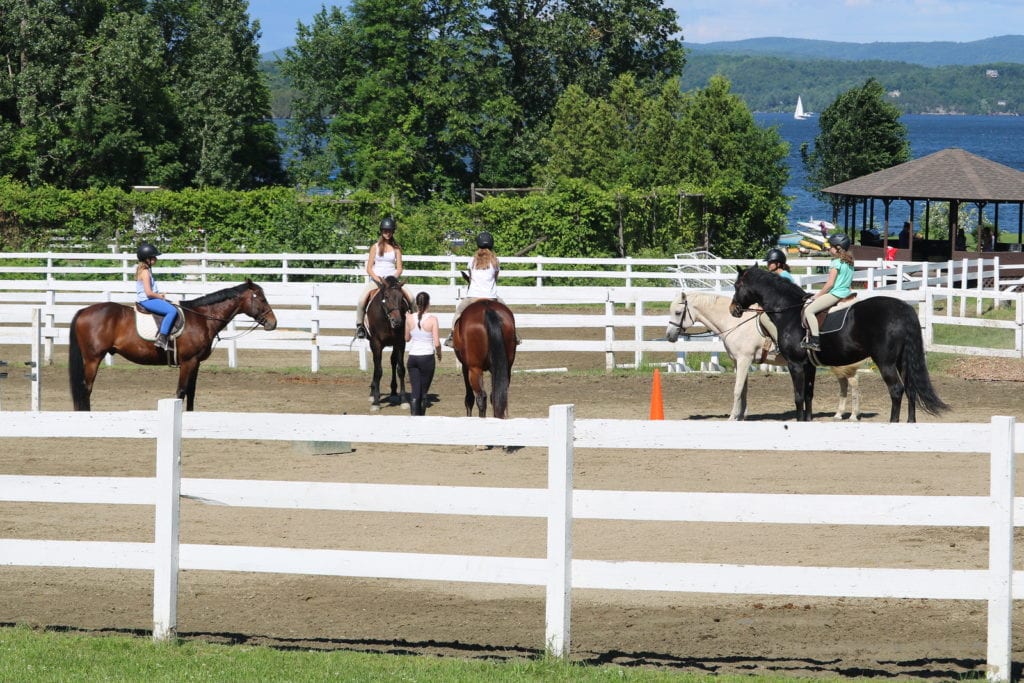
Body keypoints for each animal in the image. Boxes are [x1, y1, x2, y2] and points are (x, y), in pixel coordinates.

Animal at [68, 279, 277, 411]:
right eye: (261, 298)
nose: (273, 323)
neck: (202, 318)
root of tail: (83, 311)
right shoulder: (187, 362)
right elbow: (181, 391)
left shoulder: (196, 362)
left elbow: (191, 392)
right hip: (93, 359)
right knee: (86, 389)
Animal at [365, 275, 410, 411]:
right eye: (386, 296)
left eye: (401, 298)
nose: (397, 321)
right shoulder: (376, 343)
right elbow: (378, 371)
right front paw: (376, 402)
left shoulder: (400, 343)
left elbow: (401, 370)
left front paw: (404, 400)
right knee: (376, 365)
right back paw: (373, 393)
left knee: (393, 361)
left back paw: (394, 393)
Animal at [665, 290, 865, 421]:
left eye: (677, 312)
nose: (669, 336)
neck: (733, 322)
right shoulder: (738, 361)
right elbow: (744, 389)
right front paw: (742, 415)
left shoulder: (744, 360)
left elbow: (737, 388)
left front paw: (732, 417)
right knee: (845, 383)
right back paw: (839, 414)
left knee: (853, 382)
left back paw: (853, 415)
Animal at [728, 266, 949, 422]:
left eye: (737, 285)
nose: (733, 309)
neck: (789, 312)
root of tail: (903, 309)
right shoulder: (809, 366)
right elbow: (808, 394)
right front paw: (807, 420)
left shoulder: (796, 364)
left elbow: (798, 396)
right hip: (902, 361)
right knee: (911, 390)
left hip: (885, 362)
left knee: (896, 390)